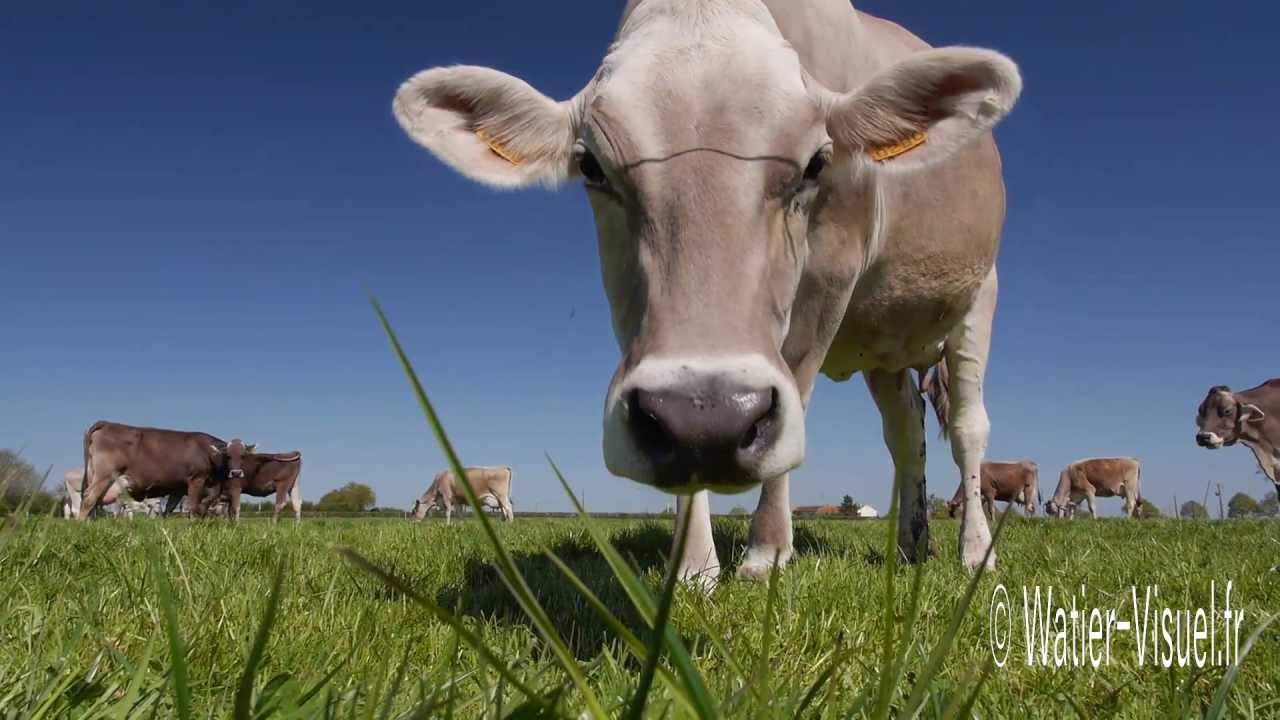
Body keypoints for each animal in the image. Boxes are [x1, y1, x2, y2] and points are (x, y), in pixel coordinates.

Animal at [79, 420, 233, 520]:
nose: (235, 472)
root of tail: (107, 423)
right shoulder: (197, 479)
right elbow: (194, 504)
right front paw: (194, 521)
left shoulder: (179, 487)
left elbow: (170, 508)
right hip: (104, 474)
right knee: (89, 499)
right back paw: (81, 523)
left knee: (93, 501)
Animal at [391, 0, 1021, 581]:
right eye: (591, 166)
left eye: (818, 162)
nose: (710, 417)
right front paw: (694, 565)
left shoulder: (831, 277)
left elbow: (798, 389)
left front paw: (767, 551)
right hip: (883, 346)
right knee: (905, 433)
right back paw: (914, 543)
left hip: (979, 299)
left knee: (968, 429)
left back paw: (974, 552)